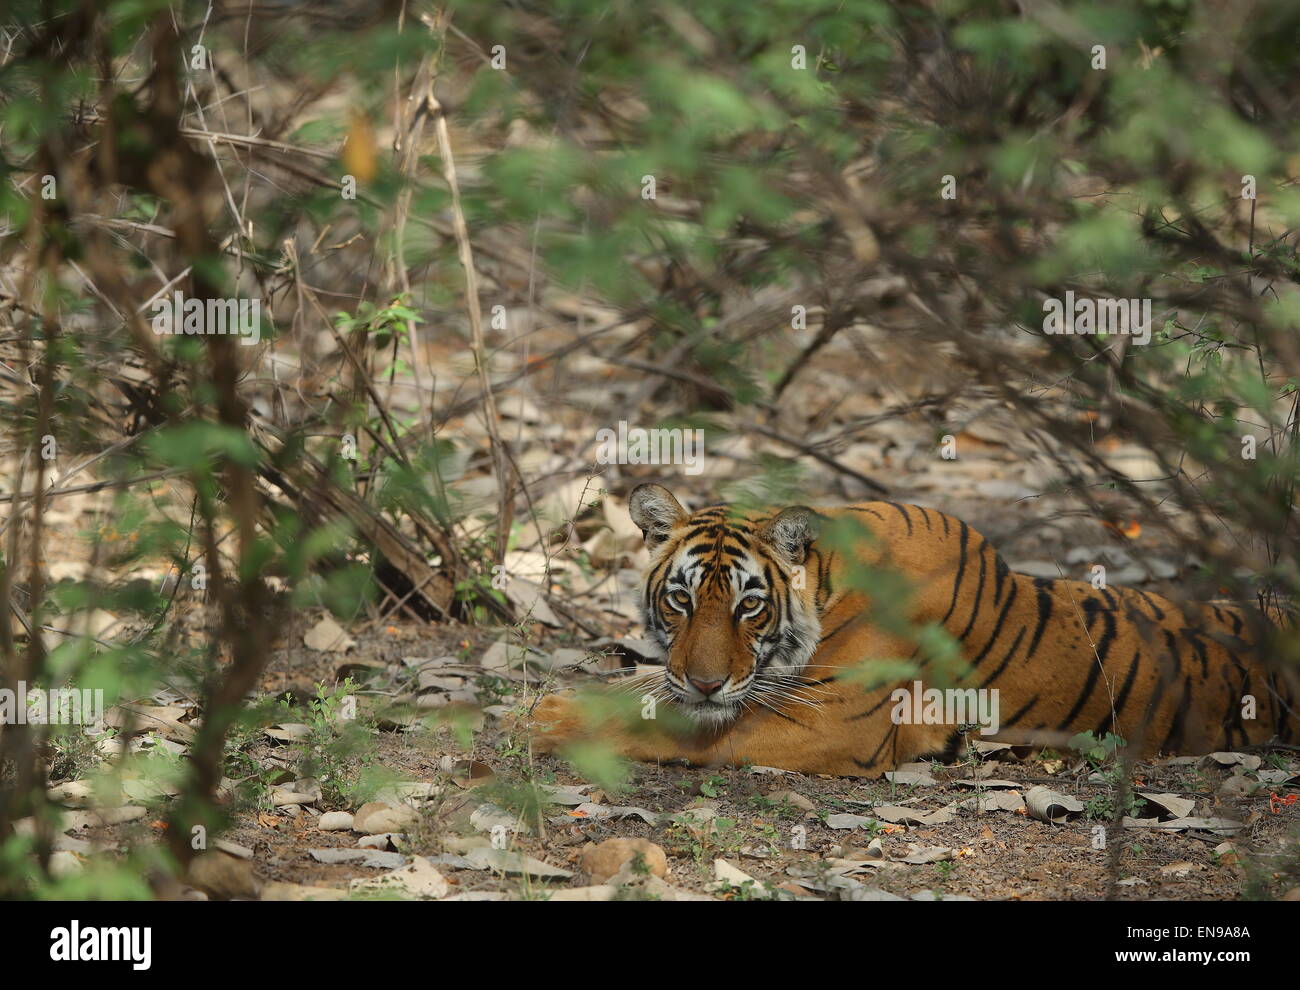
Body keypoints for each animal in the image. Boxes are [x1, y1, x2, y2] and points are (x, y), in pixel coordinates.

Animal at [530, 484, 1300, 776]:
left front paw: (537, 722)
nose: (705, 681)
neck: (832, 577)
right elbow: (635, 694)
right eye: (682, 600)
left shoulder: (832, 723)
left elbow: (658, 725)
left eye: (749, 606)